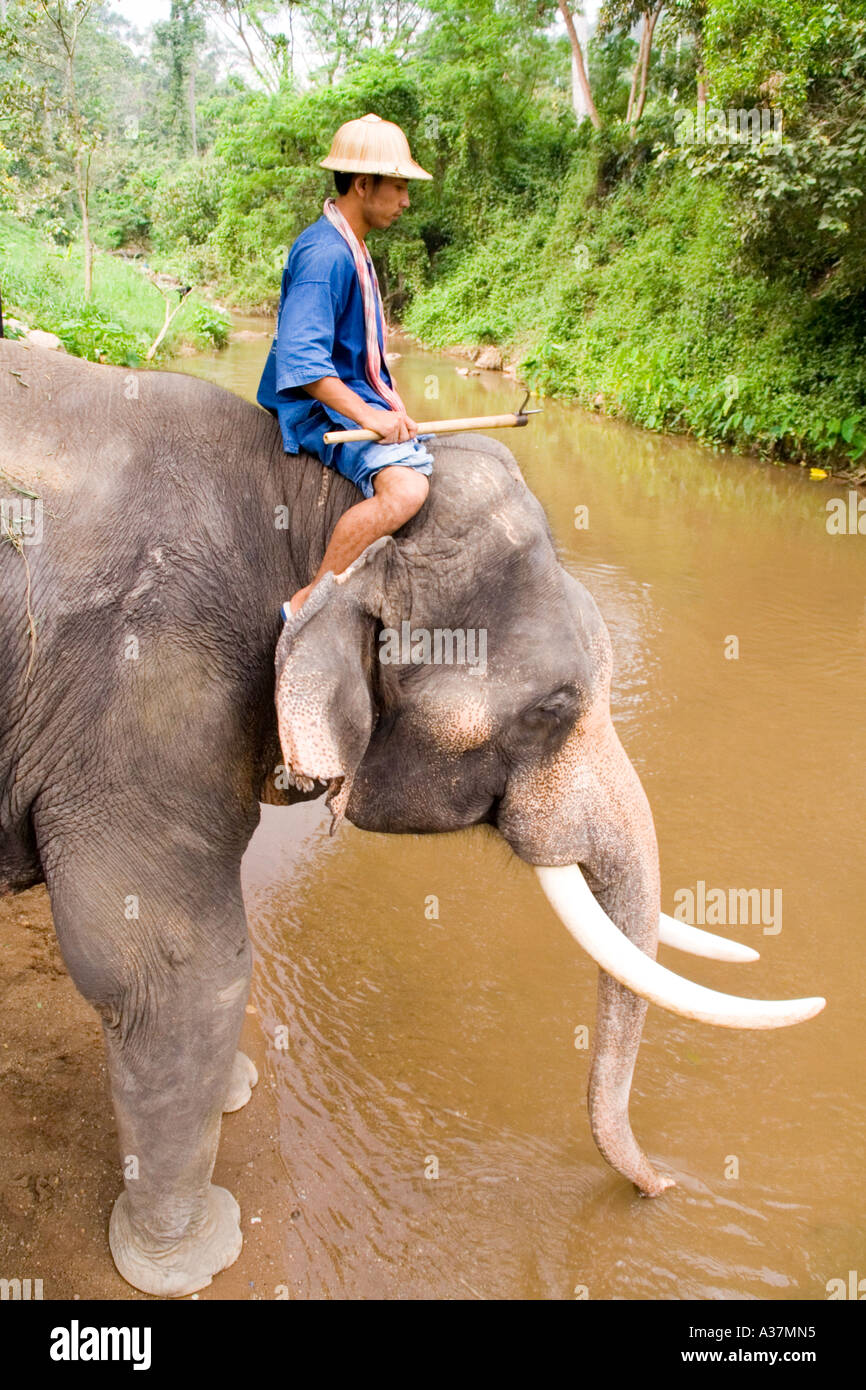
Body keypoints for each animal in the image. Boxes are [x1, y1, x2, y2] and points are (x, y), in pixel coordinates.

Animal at [0, 340, 824, 1297]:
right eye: (553, 708)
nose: (663, 1190)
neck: (306, 499)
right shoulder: (146, 694)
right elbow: (166, 968)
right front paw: (192, 1259)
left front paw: (235, 1095)